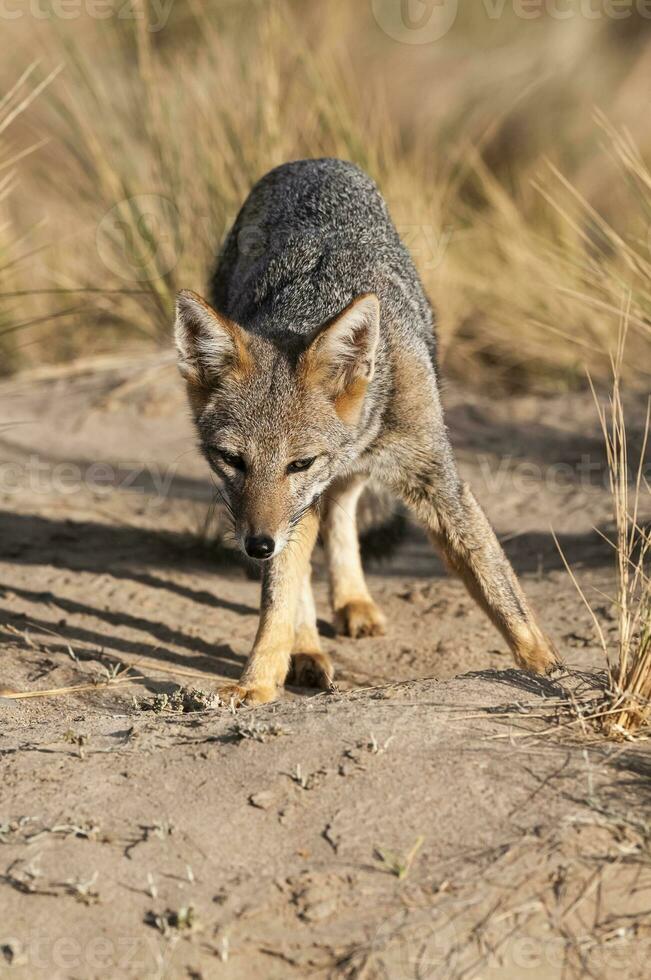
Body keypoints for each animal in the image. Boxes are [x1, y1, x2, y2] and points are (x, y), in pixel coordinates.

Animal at [174, 158, 559, 706]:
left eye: (300, 463)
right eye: (233, 461)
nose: (256, 547)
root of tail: (311, 161)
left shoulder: (434, 479)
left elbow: (497, 584)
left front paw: (547, 666)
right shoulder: (288, 514)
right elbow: (278, 598)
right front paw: (258, 680)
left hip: (340, 487)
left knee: (341, 511)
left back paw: (351, 601)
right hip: (297, 511)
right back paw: (307, 651)